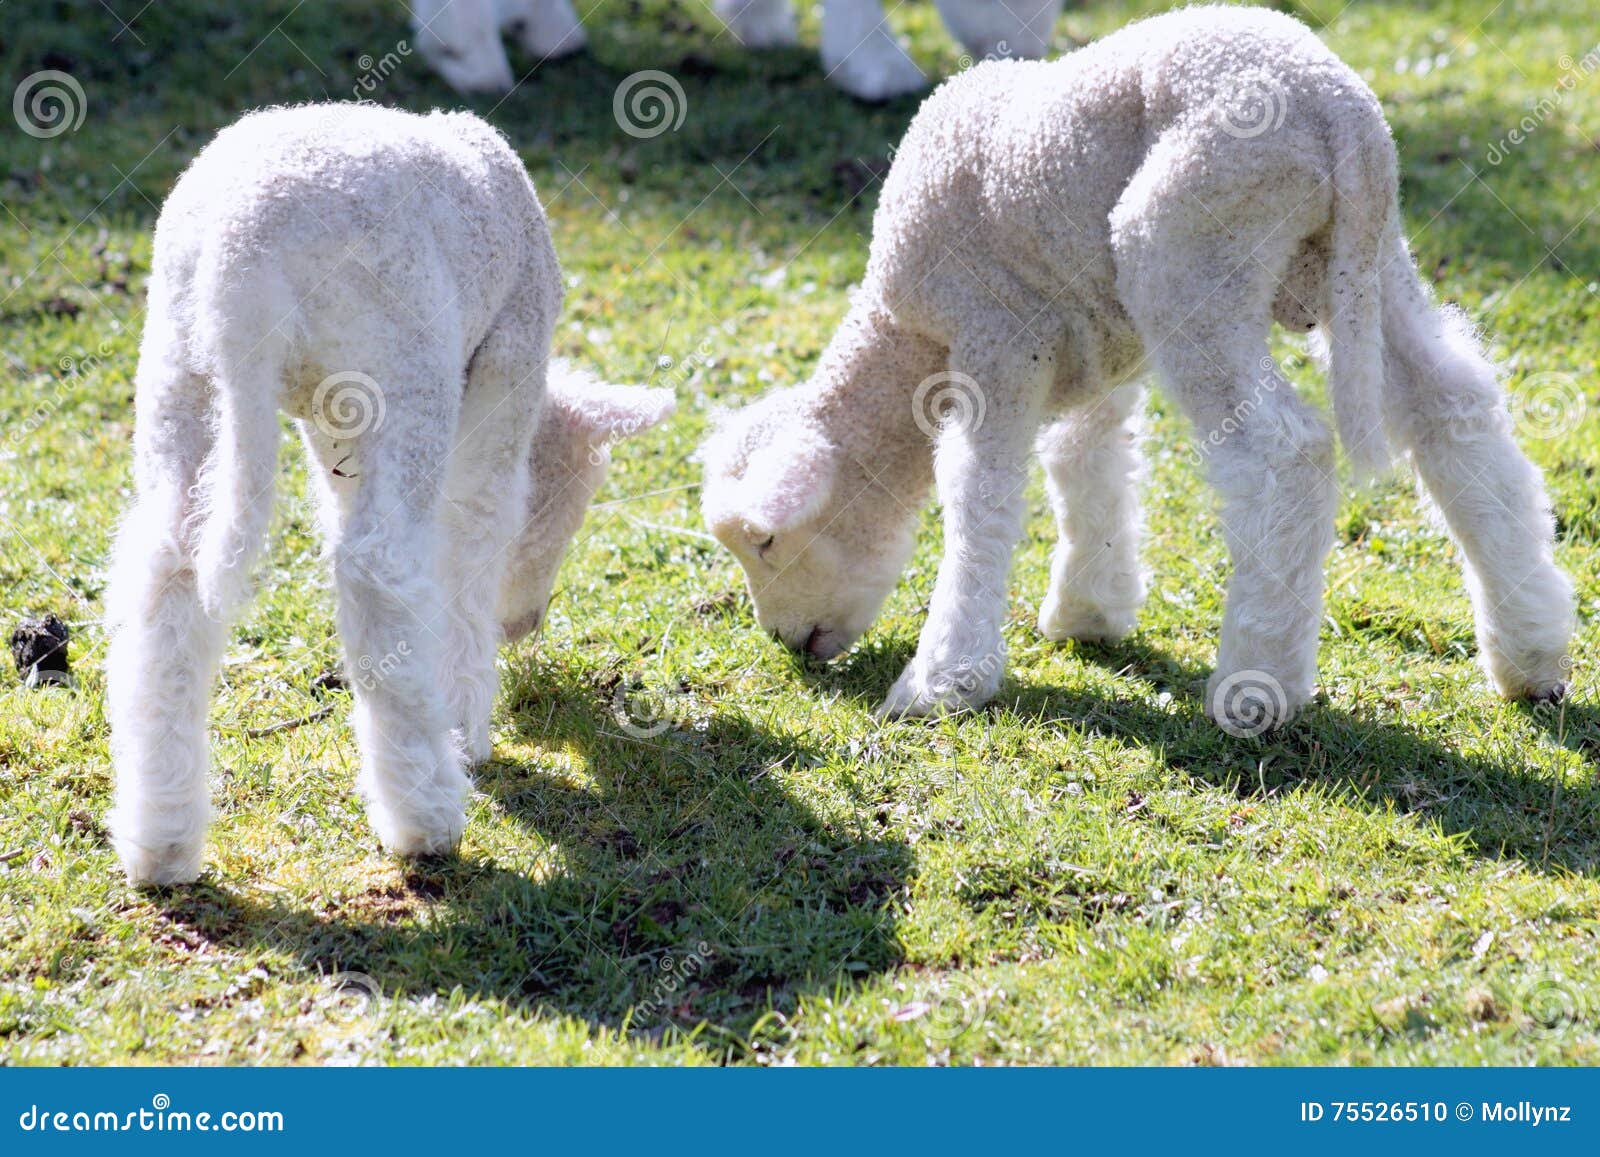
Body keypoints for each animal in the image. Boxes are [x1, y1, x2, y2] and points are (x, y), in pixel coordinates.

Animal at [106, 103, 675, 886]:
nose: (524, 625)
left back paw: (160, 840)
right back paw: (425, 814)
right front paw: (466, 721)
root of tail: (239, 255)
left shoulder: (332, 430)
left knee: (168, 574)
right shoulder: (508, 361)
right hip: (402, 365)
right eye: (565, 512)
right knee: (380, 569)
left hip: (180, 372)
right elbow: (472, 536)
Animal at [701, 5, 1575, 735]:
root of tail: (1340, 113)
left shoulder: (994, 335)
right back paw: (1532, 653)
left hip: (1190, 251)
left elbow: (979, 493)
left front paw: (943, 678)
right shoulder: (1097, 343)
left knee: (1283, 453)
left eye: (767, 542)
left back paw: (1259, 687)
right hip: (1366, 260)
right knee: (1451, 408)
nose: (788, 642)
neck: (903, 335)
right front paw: (1090, 608)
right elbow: (1086, 459)